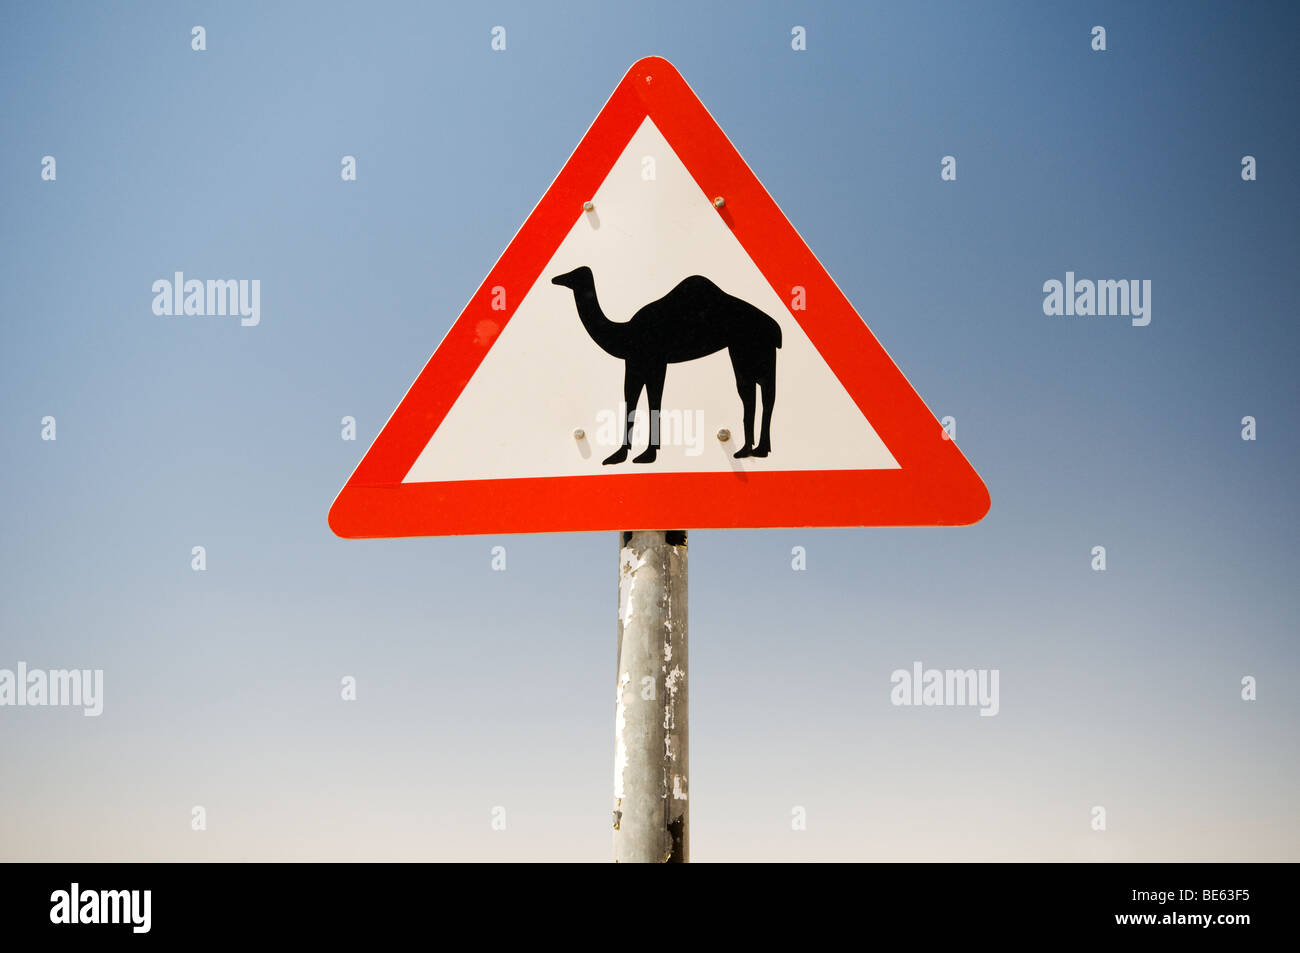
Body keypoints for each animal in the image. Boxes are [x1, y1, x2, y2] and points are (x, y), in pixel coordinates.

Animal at [551, 266, 781, 464]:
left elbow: (654, 402)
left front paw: (648, 454)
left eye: (574, 274)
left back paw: (757, 450)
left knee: (761, 395)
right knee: (753, 393)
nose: (555, 278)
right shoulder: (634, 364)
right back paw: (752, 450)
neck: (625, 333)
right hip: (746, 352)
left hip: (752, 350)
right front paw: (619, 456)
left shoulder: (655, 361)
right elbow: (630, 402)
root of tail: (776, 330)